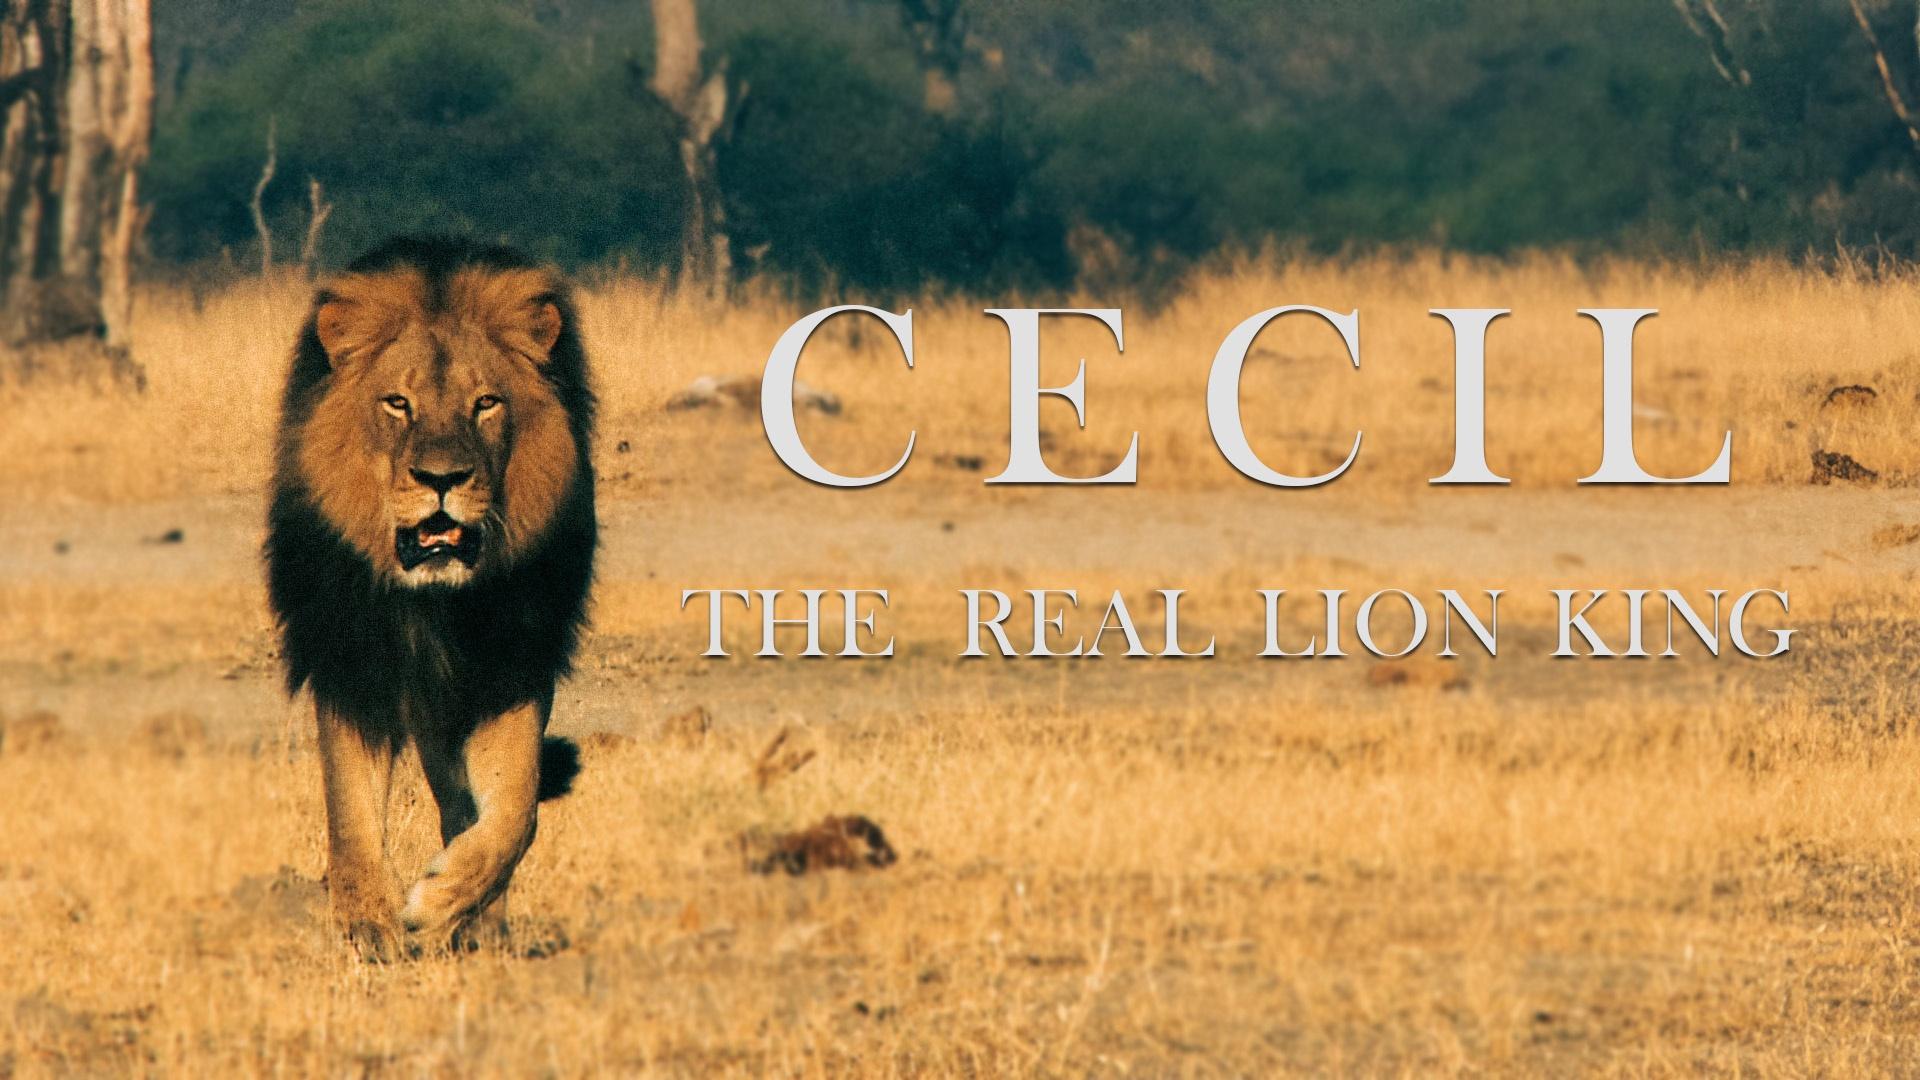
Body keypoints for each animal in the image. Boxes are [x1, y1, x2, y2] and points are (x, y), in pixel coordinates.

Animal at [265, 235, 596, 960]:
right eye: (397, 404)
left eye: (486, 404)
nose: (441, 479)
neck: (437, 605)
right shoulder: (351, 662)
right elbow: (350, 810)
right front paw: (369, 926)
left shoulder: (512, 666)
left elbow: (516, 811)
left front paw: (445, 902)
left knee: (463, 805)